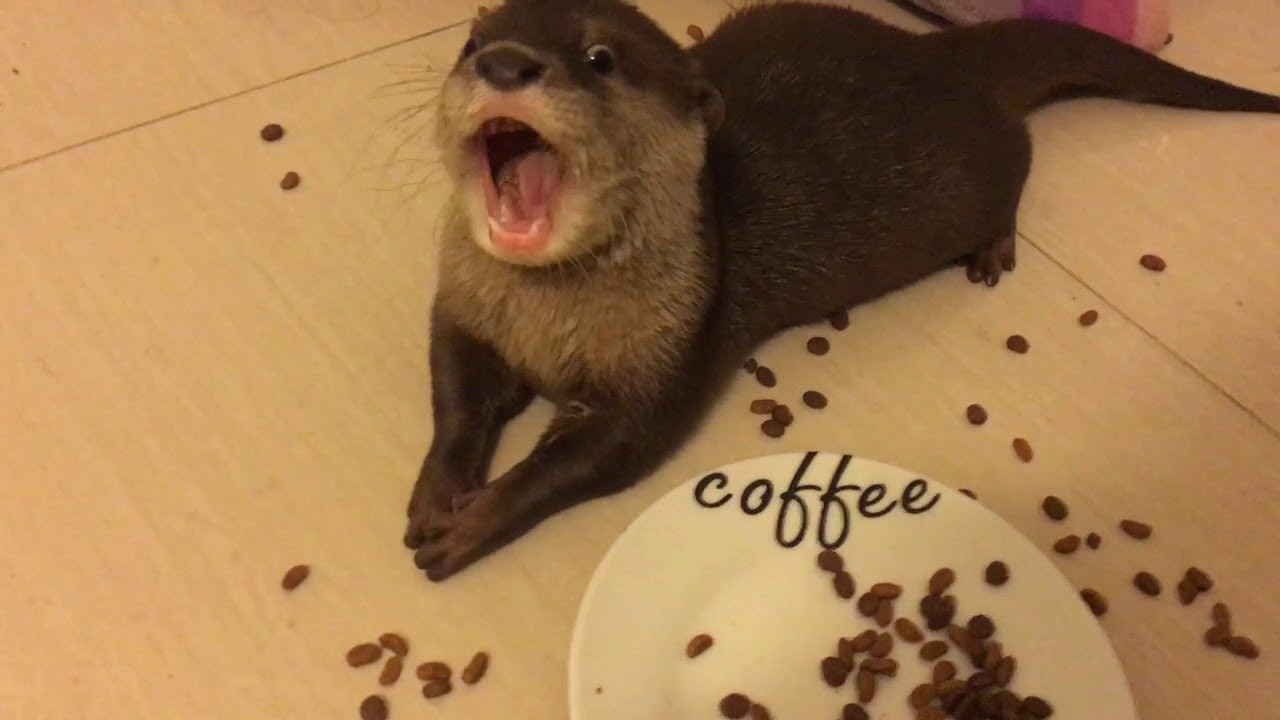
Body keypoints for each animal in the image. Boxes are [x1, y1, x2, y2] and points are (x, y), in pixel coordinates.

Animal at [401, 0, 1280, 580]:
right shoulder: (464, 308)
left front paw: (474, 523)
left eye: (599, 59)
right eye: (472, 40)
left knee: (1021, 158)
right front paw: (439, 491)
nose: (505, 62)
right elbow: (455, 393)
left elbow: (591, 457)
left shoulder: (670, 355)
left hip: (973, 164)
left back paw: (993, 250)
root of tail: (942, 56)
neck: (551, 323)